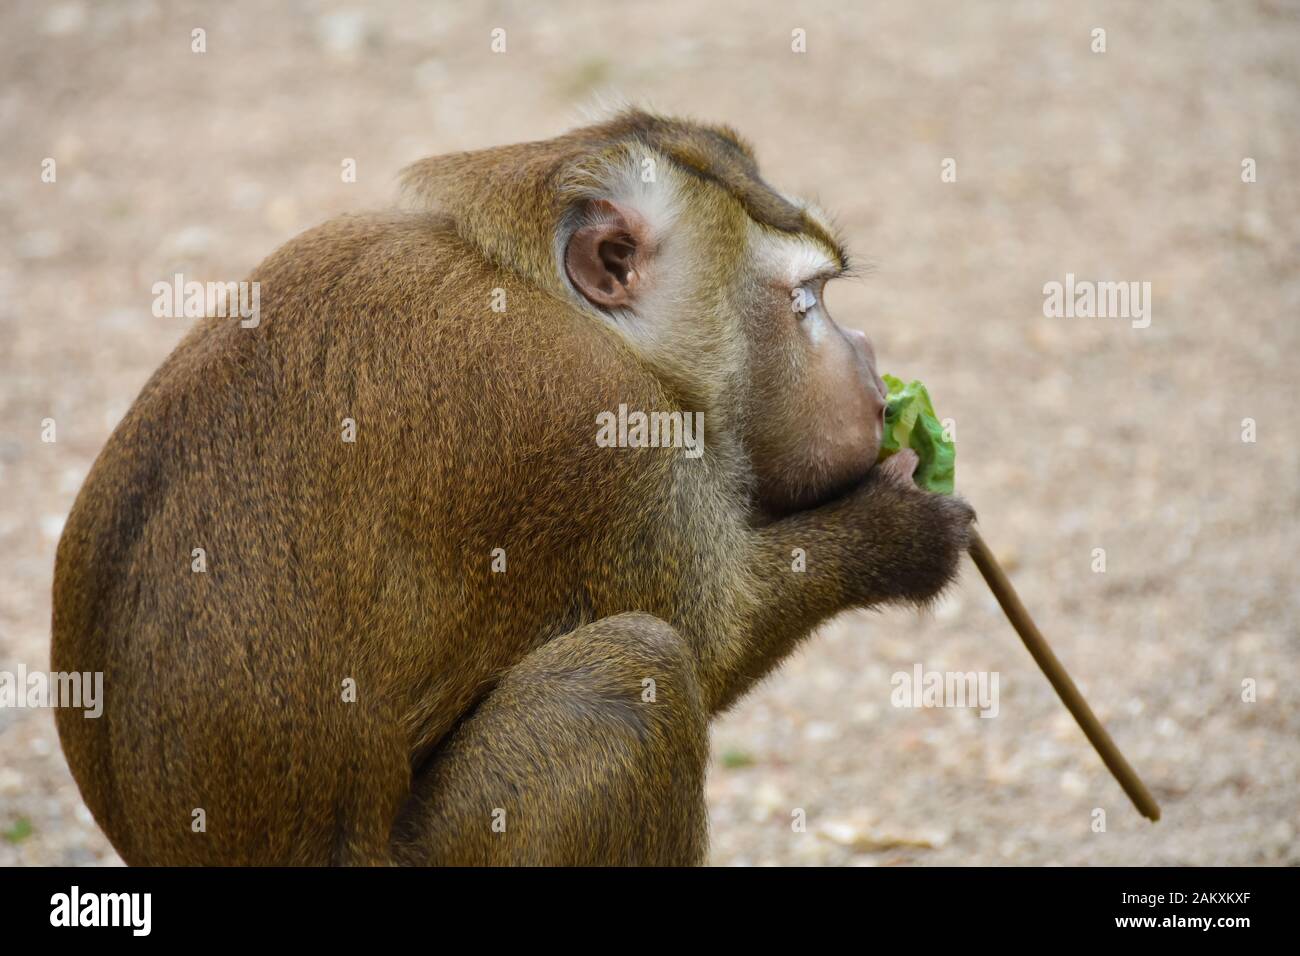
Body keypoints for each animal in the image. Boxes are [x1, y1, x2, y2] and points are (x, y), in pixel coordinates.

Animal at [51, 109, 974, 866]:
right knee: (631, 680)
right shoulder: (600, 427)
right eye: (808, 303)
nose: (867, 360)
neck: (534, 287)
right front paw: (899, 528)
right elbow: (719, 638)